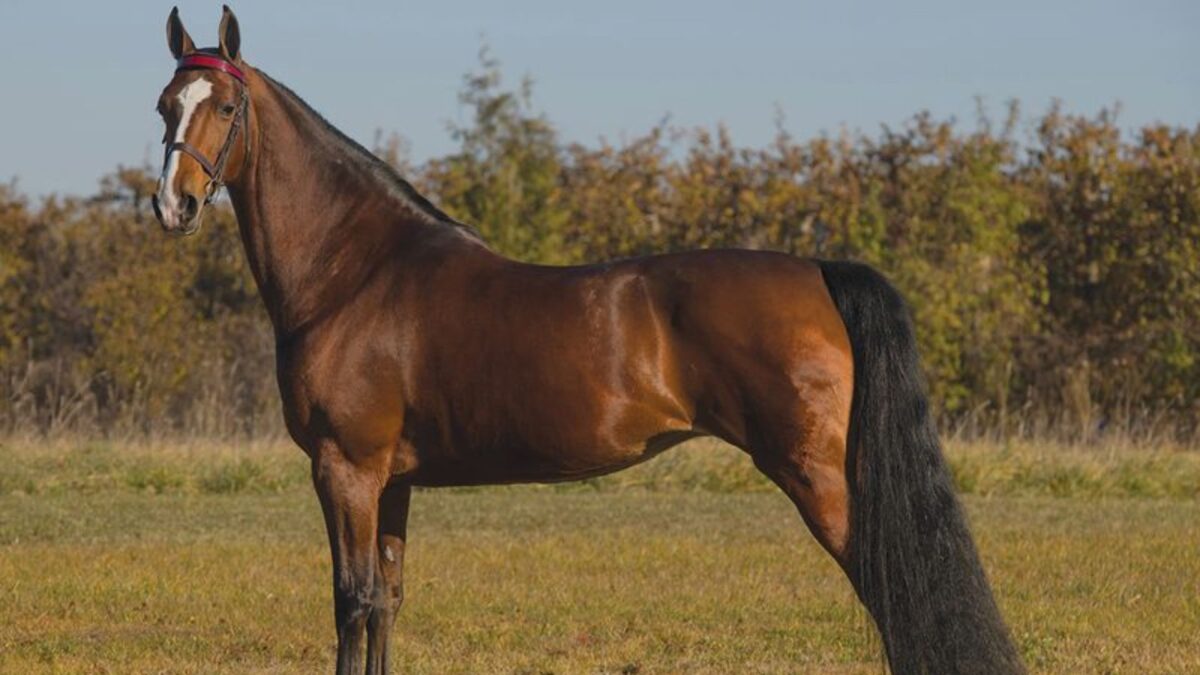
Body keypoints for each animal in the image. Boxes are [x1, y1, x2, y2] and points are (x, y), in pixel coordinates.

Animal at [150, 7, 1024, 674]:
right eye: (164, 105)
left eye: (223, 108)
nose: (173, 205)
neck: (356, 272)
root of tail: (818, 271)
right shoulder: (390, 480)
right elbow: (388, 600)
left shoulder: (346, 469)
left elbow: (352, 600)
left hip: (824, 480)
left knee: (891, 590)